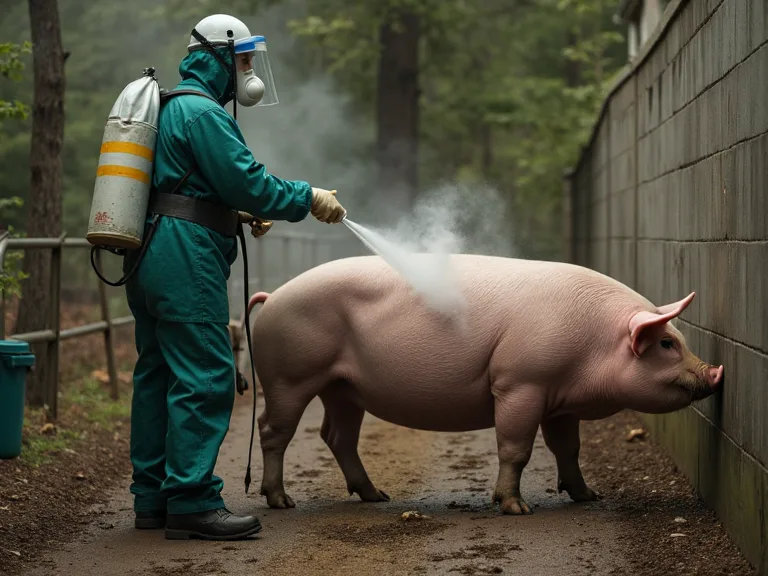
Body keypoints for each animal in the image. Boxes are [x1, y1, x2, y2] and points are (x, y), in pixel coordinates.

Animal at [247, 254, 723, 515]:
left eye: (679, 339)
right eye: (666, 343)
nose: (716, 372)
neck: (593, 342)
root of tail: (273, 295)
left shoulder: (560, 401)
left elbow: (568, 448)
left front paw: (588, 496)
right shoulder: (520, 383)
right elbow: (516, 449)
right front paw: (516, 508)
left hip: (342, 386)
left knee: (336, 435)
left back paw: (377, 496)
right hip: (290, 375)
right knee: (273, 429)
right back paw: (280, 501)